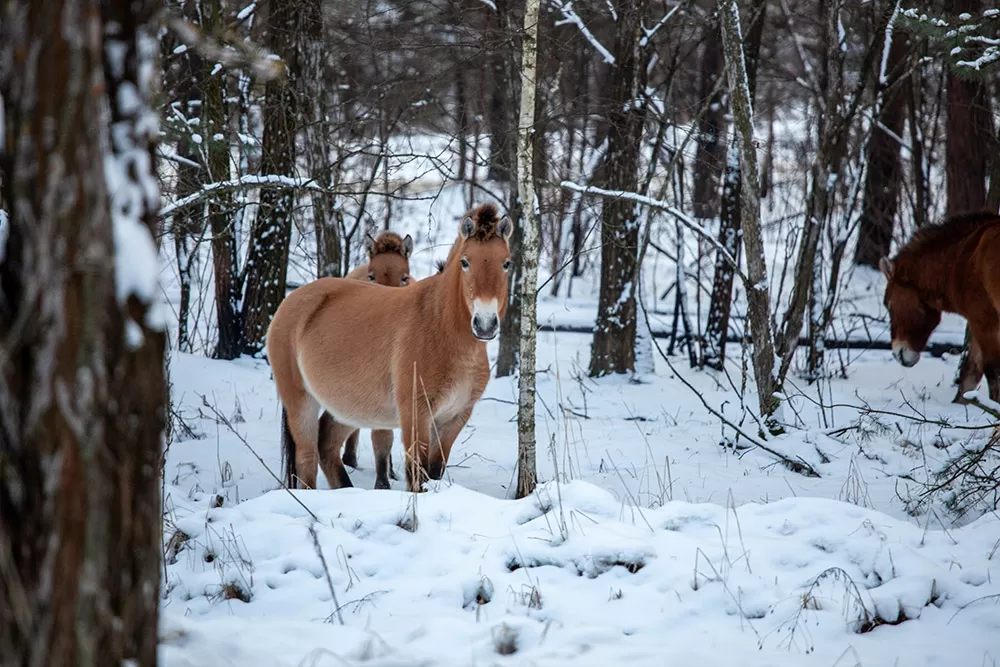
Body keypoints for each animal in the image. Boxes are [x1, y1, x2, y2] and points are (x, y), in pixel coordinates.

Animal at [338, 232, 412, 488]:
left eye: (404, 278)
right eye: (372, 276)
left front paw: (388, 475)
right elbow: (381, 436)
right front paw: (382, 483)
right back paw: (350, 460)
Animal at [880, 211, 1000, 404]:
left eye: (888, 304)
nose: (898, 353)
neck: (962, 259)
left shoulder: (984, 320)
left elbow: (991, 371)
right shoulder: (978, 323)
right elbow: (970, 372)